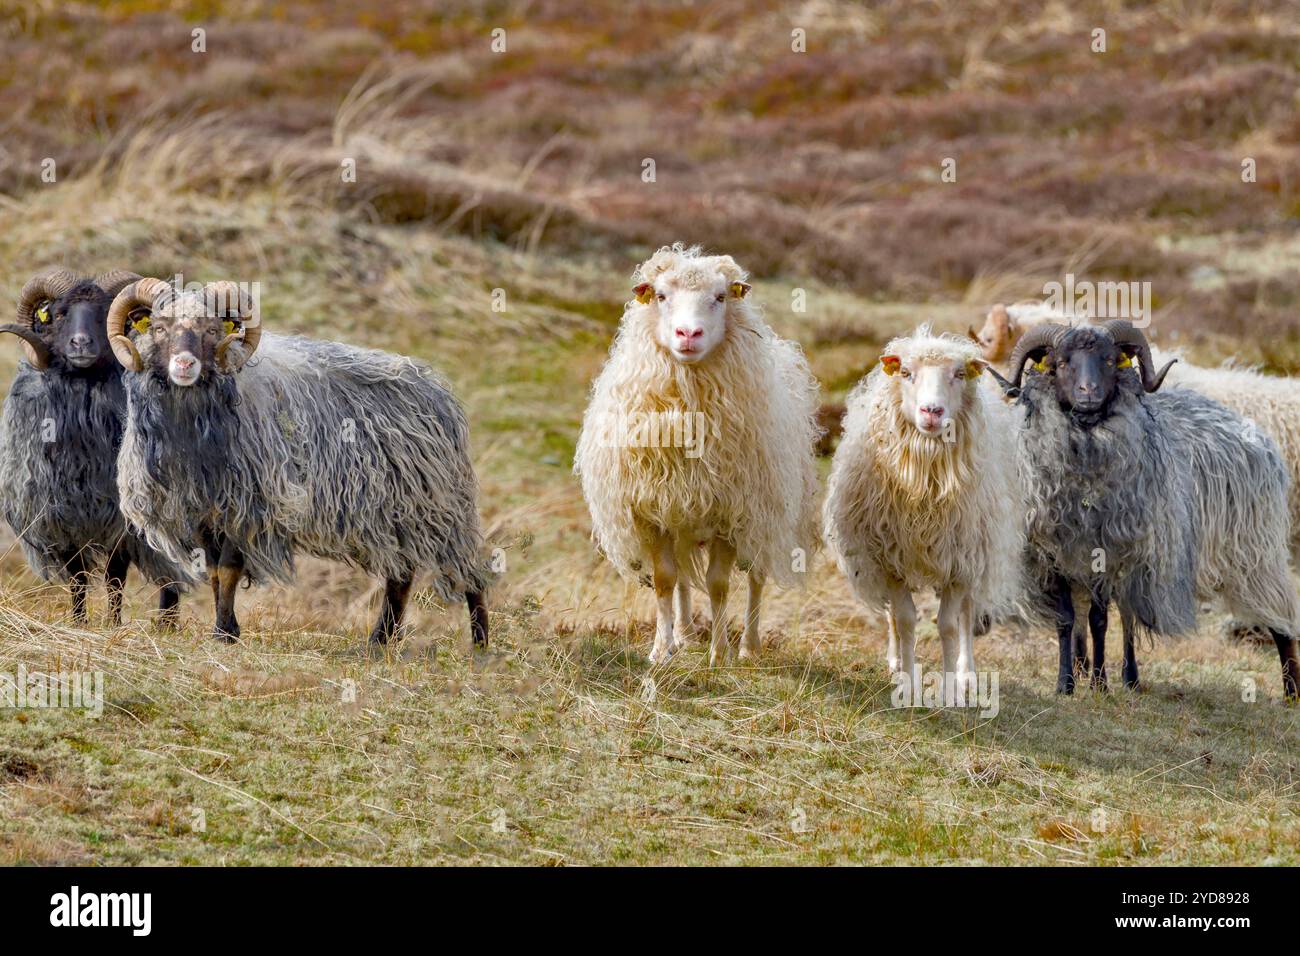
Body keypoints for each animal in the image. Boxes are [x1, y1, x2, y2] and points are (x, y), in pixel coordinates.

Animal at [0, 268, 184, 625]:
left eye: (104, 313)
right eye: (59, 314)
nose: (81, 343)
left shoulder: (122, 523)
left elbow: (115, 577)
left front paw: (112, 624)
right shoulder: (64, 516)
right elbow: (77, 577)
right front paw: (78, 622)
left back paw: (167, 624)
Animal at [104, 278, 488, 649]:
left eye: (213, 330)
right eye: (158, 327)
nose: (185, 365)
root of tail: (435, 387)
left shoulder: (246, 507)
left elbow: (228, 570)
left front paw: (225, 633)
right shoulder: (203, 512)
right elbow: (214, 572)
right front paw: (225, 627)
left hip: (437, 505)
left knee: (470, 571)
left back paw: (480, 642)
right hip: (397, 511)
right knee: (401, 574)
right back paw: (382, 640)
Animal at [574, 244, 821, 666]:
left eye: (720, 297)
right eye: (660, 296)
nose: (688, 333)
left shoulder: (732, 511)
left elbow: (719, 584)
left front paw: (719, 654)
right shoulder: (652, 510)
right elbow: (665, 580)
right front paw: (661, 649)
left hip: (766, 513)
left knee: (756, 578)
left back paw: (749, 647)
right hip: (684, 520)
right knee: (684, 579)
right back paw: (686, 633)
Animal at [823, 326, 1023, 703]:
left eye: (959, 374)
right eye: (905, 373)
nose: (932, 411)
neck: (926, 486)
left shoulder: (960, 560)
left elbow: (948, 625)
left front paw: (951, 689)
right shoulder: (890, 557)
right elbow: (904, 620)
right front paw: (906, 681)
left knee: (967, 614)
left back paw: (967, 673)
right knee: (891, 615)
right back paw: (894, 661)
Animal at [990, 320, 1300, 700]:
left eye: (1110, 360)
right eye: (1061, 362)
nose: (1089, 391)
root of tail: (1257, 434)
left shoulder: (1110, 553)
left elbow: (1099, 621)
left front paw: (1100, 684)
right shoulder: (1053, 556)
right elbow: (1067, 620)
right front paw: (1066, 684)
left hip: (1254, 551)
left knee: (1281, 620)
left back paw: (1291, 691)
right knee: (1125, 616)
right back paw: (1124, 676)